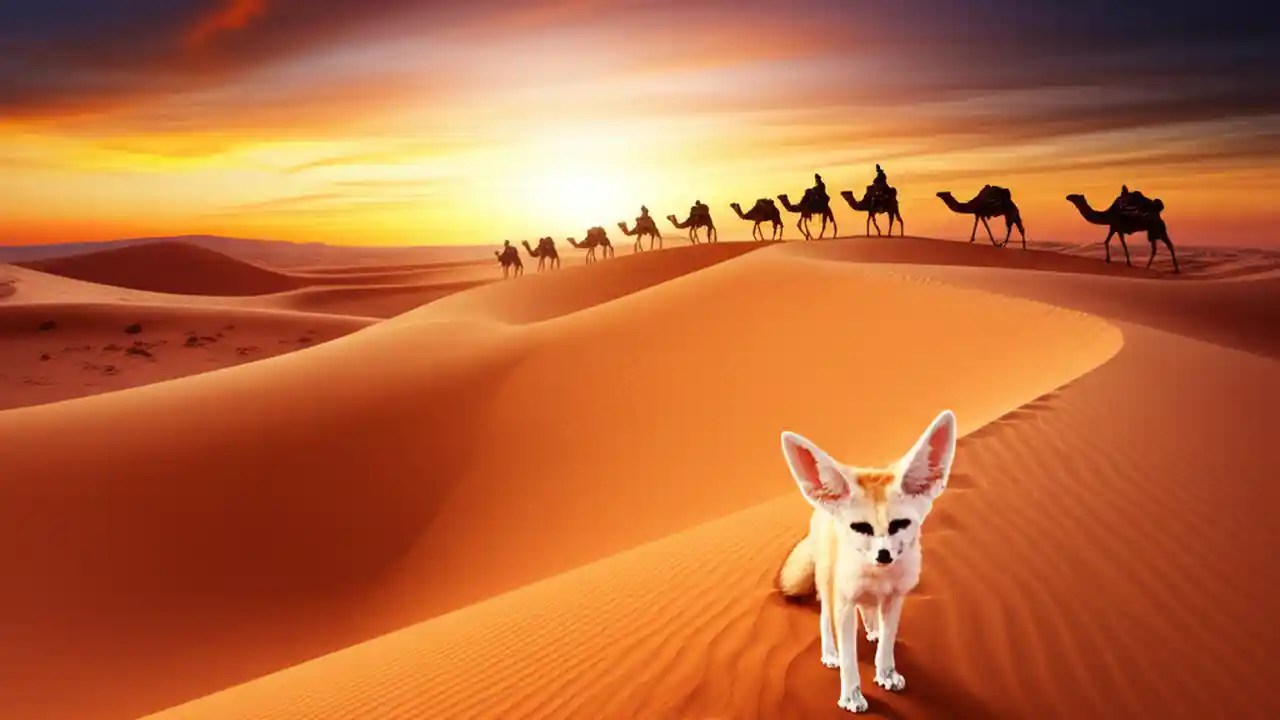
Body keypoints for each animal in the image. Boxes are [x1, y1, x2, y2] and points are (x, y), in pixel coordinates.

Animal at [777, 410, 957, 713]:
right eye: (861, 528)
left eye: (899, 525)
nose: (883, 555)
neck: (879, 577)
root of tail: (822, 507)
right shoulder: (844, 603)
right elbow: (849, 658)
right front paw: (851, 695)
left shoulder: (894, 598)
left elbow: (887, 642)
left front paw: (886, 672)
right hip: (827, 584)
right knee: (825, 618)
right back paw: (830, 653)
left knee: (869, 610)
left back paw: (872, 629)